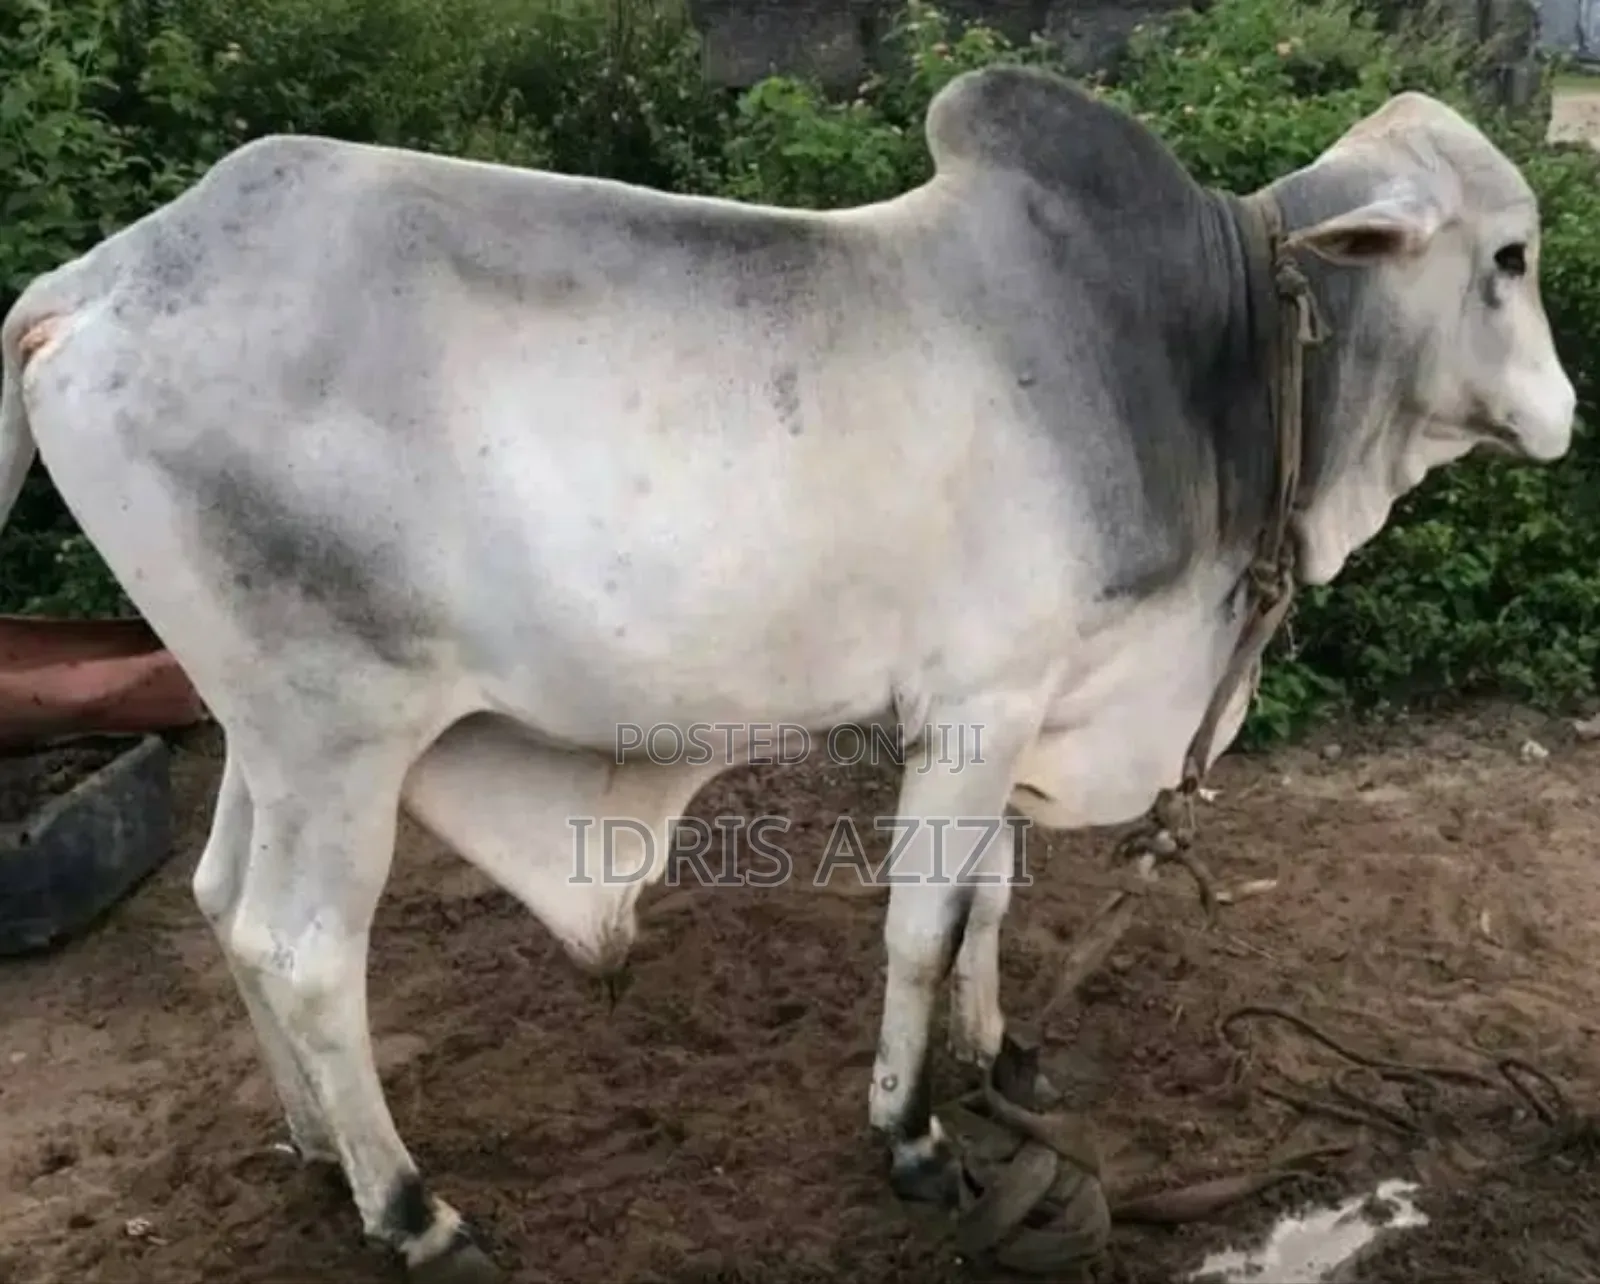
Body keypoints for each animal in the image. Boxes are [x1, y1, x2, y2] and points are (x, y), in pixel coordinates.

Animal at [0, 64, 1573, 1282]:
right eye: (1509, 258)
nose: (1564, 415)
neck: (1199, 348)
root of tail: (90, 284)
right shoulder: (976, 706)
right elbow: (922, 926)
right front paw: (914, 1139)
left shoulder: (1022, 701)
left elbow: (992, 899)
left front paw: (1003, 1064)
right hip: (338, 737)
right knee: (303, 951)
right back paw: (412, 1208)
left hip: (262, 731)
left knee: (220, 902)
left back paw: (319, 1151)